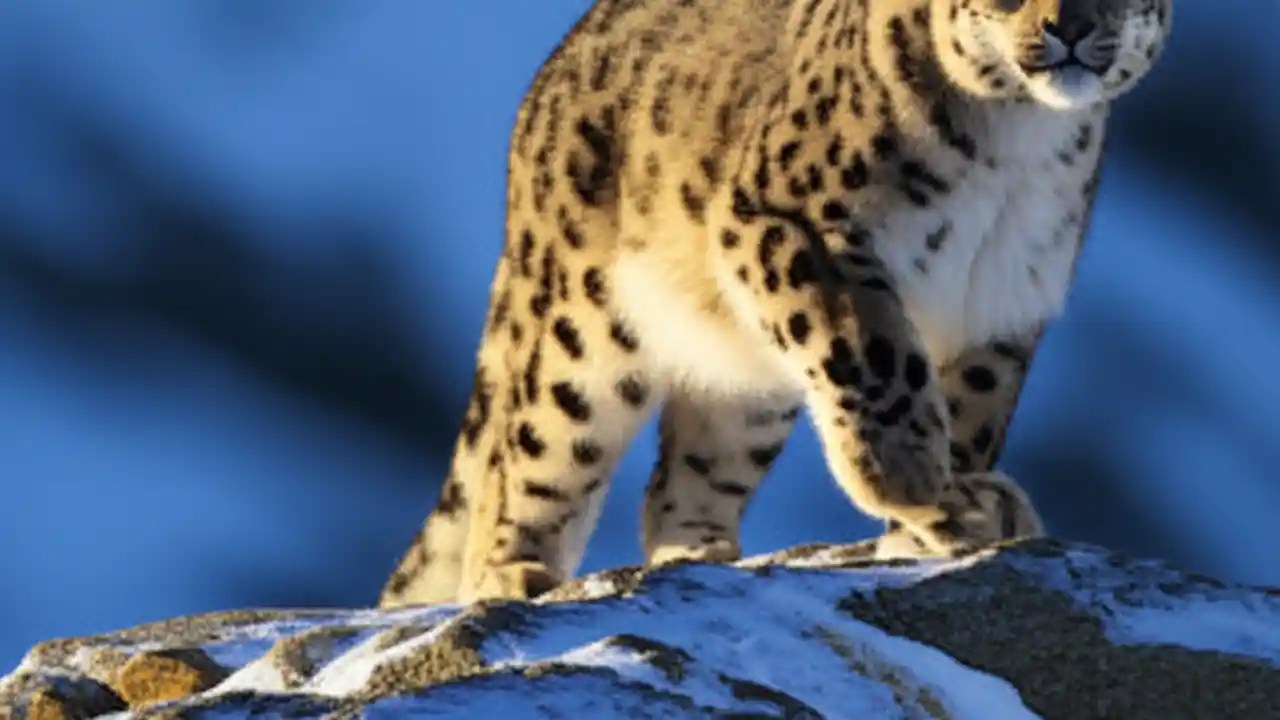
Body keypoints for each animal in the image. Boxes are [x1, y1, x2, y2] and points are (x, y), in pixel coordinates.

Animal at [379, 0, 1172, 606]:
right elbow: (879, 358)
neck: (1018, 142)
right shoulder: (798, 224)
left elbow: (972, 409)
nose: (1068, 28)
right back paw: (514, 574)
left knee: (680, 478)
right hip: (579, 329)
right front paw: (915, 481)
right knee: (527, 453)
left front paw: (950, 514)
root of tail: (545, 82)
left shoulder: (1005, 302)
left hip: (745, 386)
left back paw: (701, 554)